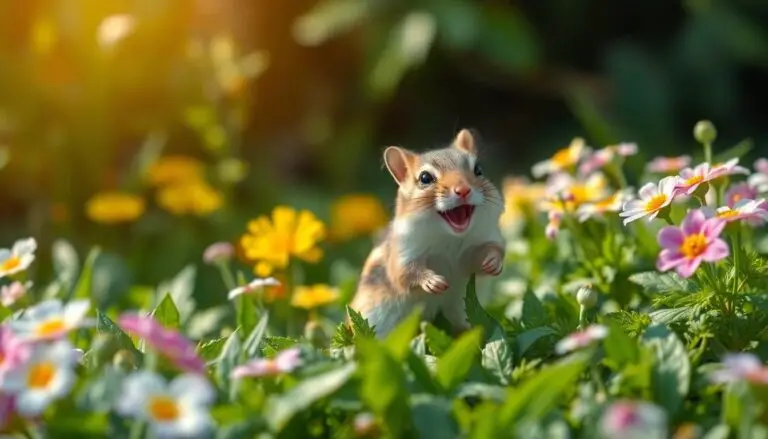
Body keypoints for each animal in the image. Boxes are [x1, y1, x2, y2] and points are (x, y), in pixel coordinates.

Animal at [348, 128, 506, 338]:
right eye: (425, 178)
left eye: (478, 169)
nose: (463, 190)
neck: (449, 238)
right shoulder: (404, 252)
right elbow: (404, 274)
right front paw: (431, 280)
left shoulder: (485, 239)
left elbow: (492, 250)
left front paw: (493, 262)